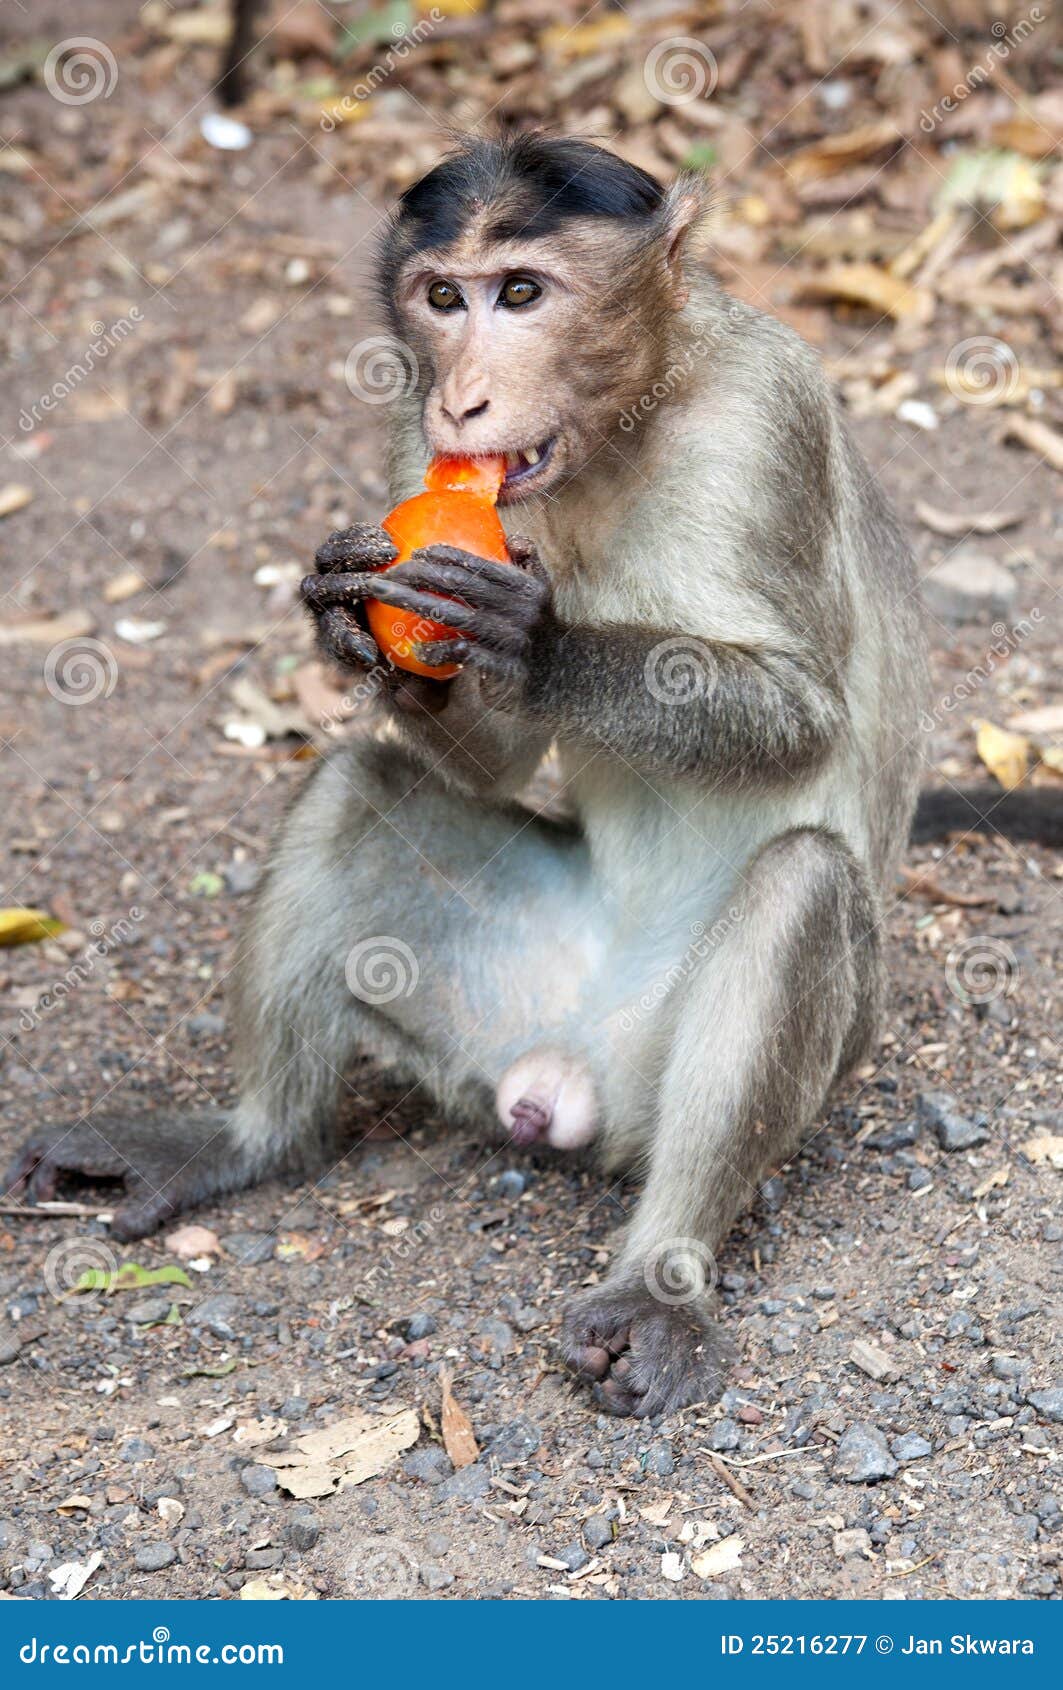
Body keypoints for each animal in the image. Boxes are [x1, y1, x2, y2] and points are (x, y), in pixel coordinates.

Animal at [6, 134, 1050, 1418]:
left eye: (520, 293)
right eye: (441, 299)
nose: (461, 395)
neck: (624, 428)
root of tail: (566, 1074)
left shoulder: (768, 414)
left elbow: (802, 713)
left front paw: (538, 645)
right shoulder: (423, 454)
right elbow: (489, 751)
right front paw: (351, 622)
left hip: (704, 1067)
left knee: (802, 884)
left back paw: (661, 1274)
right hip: (490, 1009)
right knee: (356, 790)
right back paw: (246, 1139)